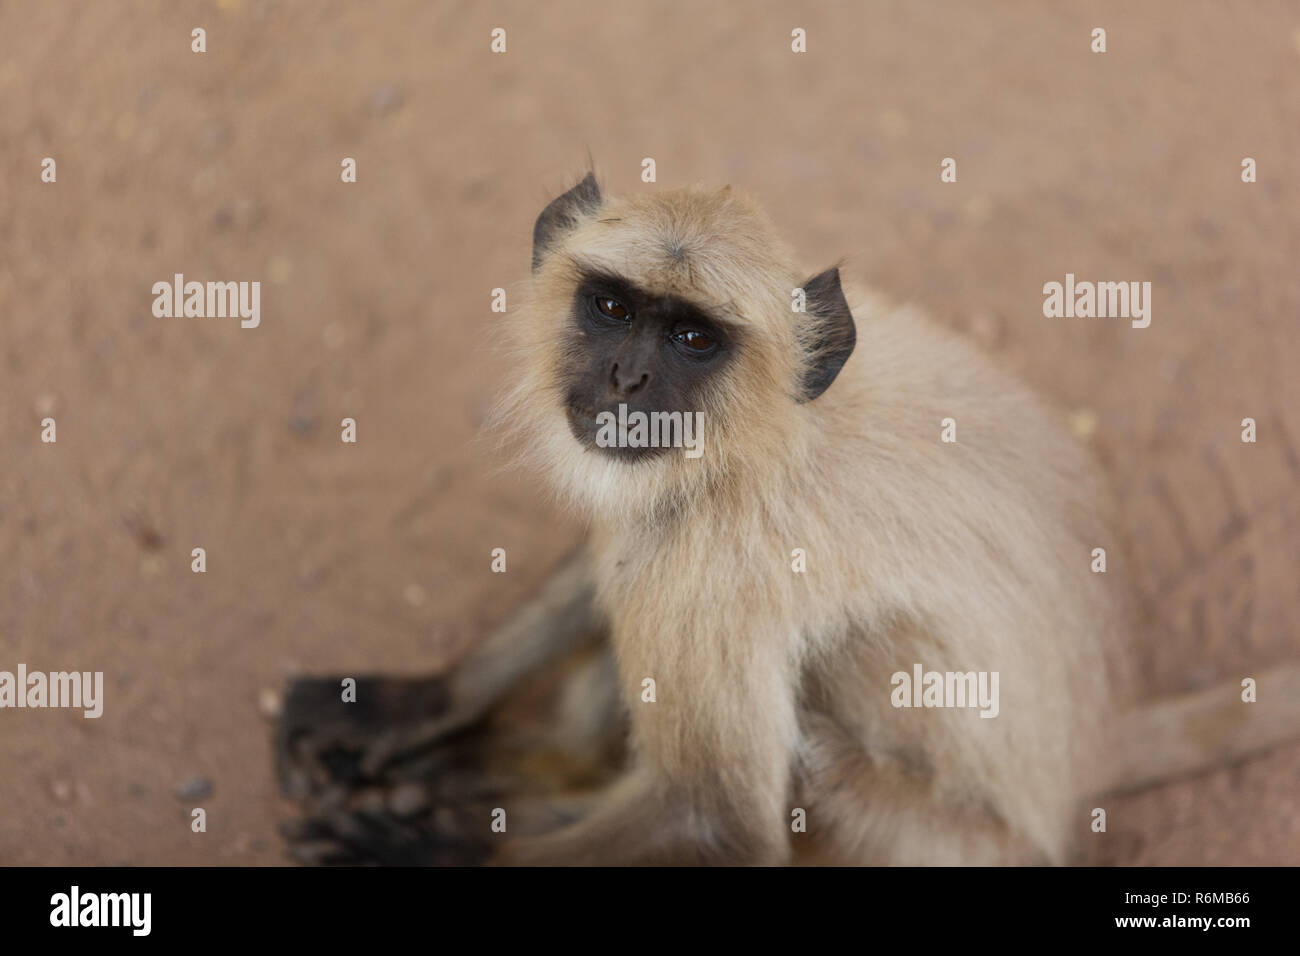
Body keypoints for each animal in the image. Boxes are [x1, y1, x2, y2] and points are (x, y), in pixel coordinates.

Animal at [276, 174, 1300, 866]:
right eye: (611, 307)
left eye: (693, 337)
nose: (626, 379)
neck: (770, 429)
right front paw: (419, 706)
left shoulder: (720, 563)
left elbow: (718, 825)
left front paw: (417, 847)